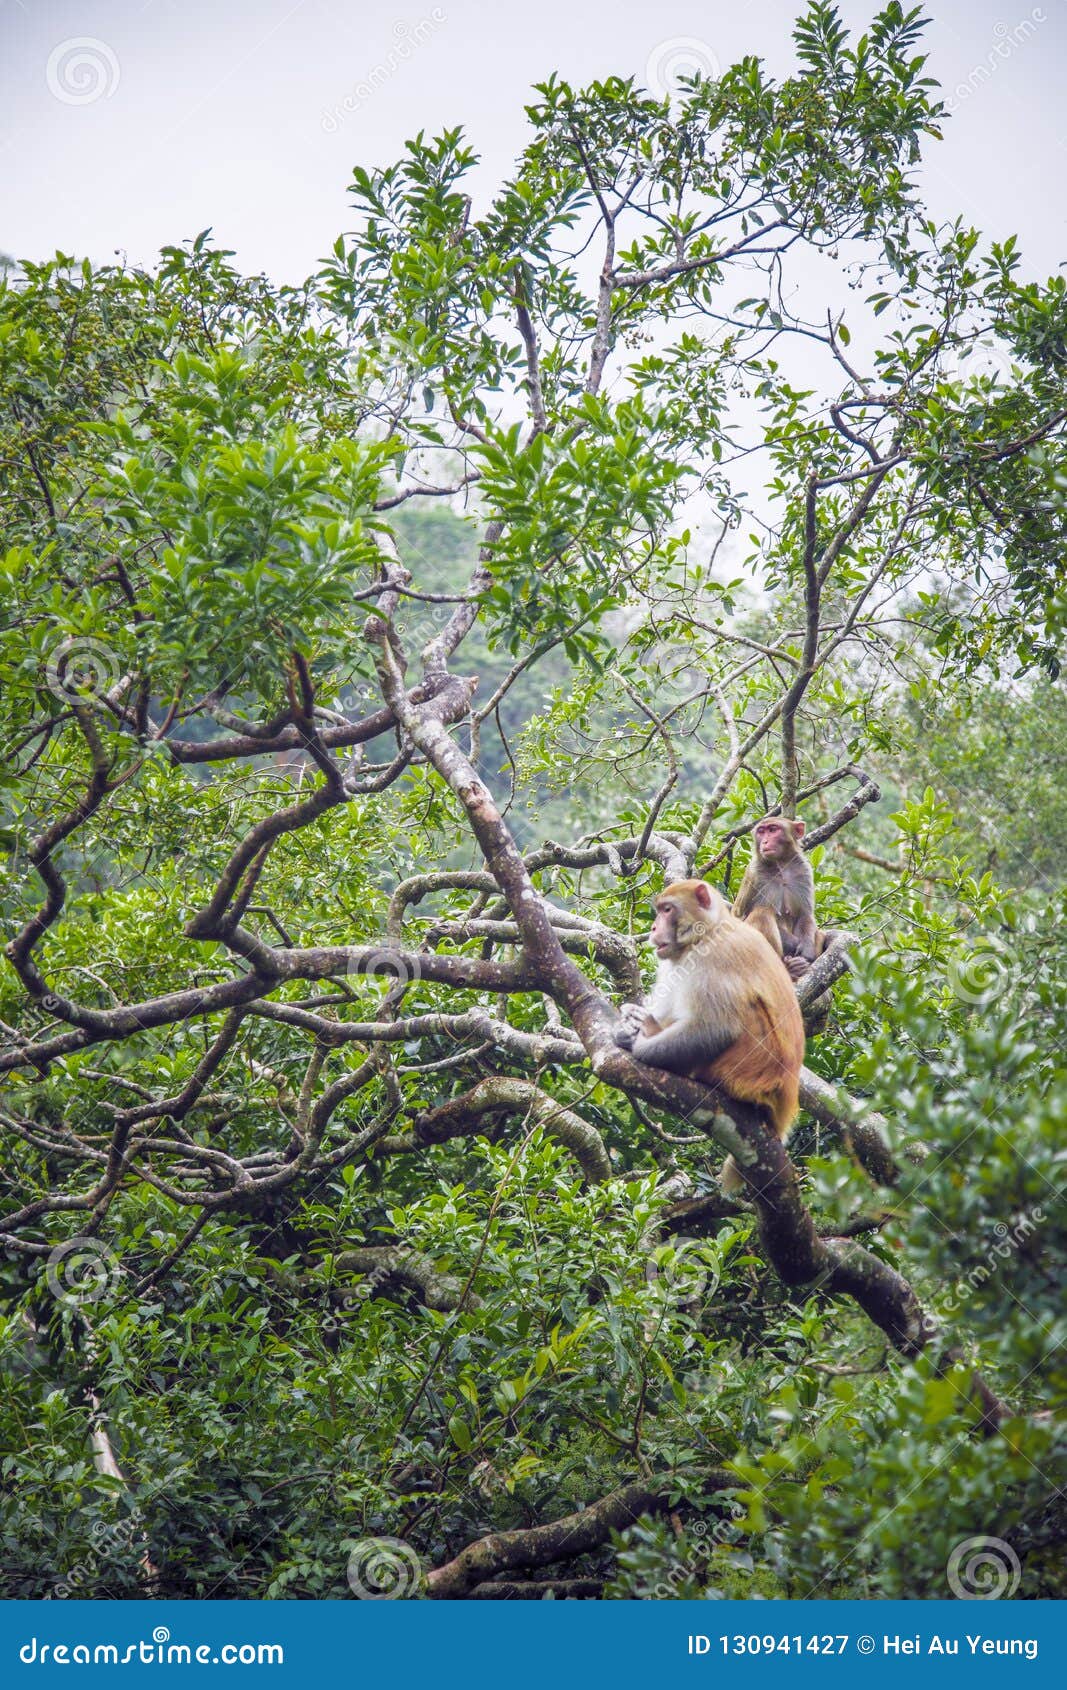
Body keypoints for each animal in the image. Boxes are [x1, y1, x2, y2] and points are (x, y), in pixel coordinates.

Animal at [614, 880, 805, 1193]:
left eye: (667, 910)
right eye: (659, 910)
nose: (653, 928)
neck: (709, 930)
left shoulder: (713, 957)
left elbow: (715, 1028)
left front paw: (638, 1043)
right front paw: (631, 1020)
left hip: (751, 1068)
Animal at [732, 816, 831, 982]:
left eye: (773, 830)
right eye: (761, 832)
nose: (765, 842)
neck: (781, 866)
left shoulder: (803, 872)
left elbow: (804, 915)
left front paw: (807, 951)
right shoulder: (754, 874)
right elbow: (738, 917)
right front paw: (794, 944)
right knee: (762, 913)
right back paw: (789, 970)